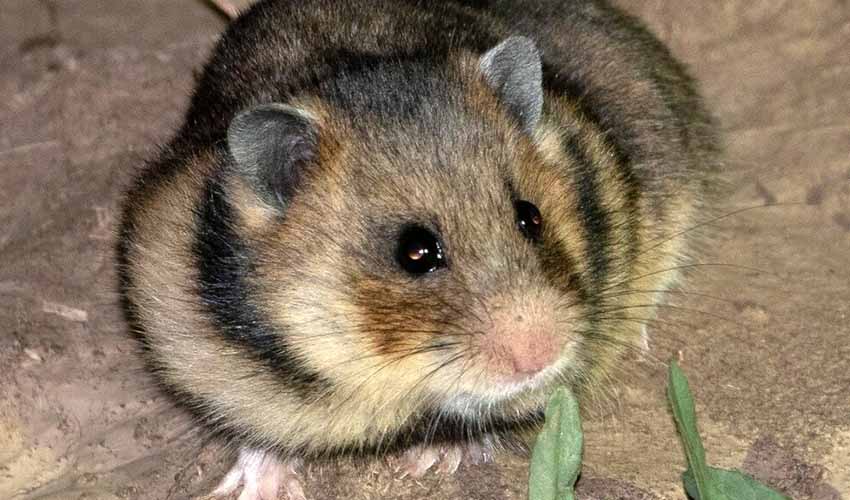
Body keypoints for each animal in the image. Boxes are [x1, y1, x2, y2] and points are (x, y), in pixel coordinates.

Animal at [116, 0, 719, 498]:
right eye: (414, 253)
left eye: (531, 217)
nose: (542, 357)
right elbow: (257, 434)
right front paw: (254, 490)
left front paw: (425, 463)